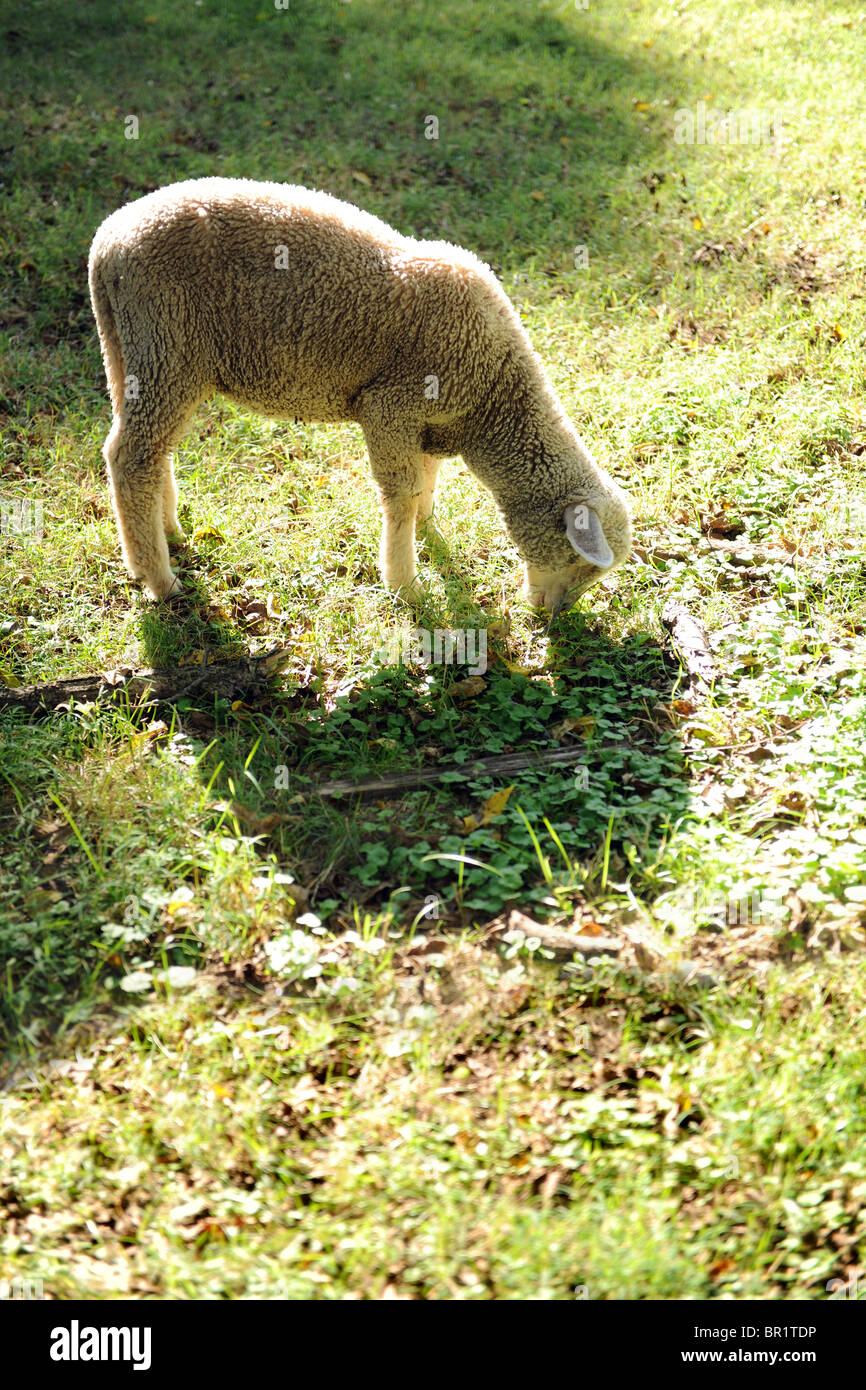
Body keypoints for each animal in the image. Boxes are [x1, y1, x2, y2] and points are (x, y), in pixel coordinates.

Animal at [88, 177, 632, 612]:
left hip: (131, 349)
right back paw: (159, 579)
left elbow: (425, 478)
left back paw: (169, 536)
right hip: (168, 342)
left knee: (152, 449)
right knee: (129, 455)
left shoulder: (425, 420)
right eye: (580, 563)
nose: (552, 616)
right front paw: (405, 583)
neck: (493, 395)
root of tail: (107, 240)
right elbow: (401, 491)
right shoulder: (390, 403)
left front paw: (427, 528)